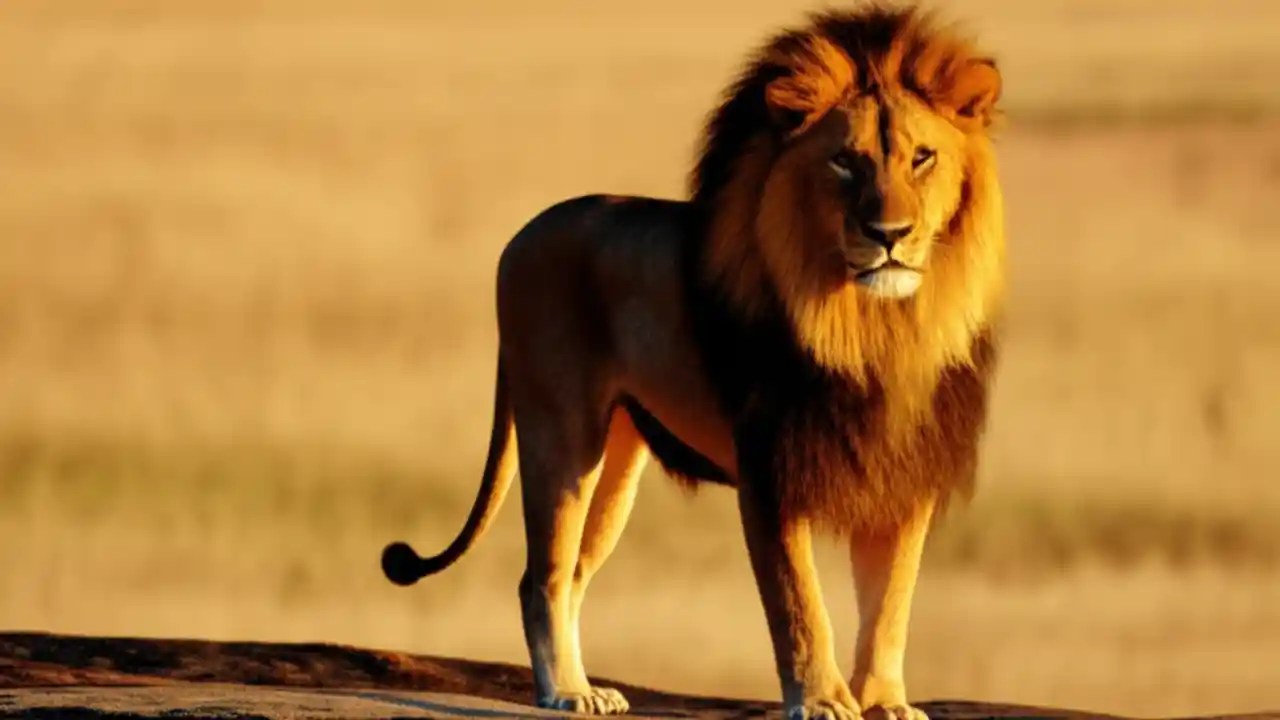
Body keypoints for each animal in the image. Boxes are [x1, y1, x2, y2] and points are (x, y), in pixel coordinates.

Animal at [381, 6, 1004, 719]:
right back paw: (565, 690)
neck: (880, 327)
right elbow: (799, 603)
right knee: (542, 575)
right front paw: (821, 700)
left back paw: (587, 685)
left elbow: (890, 604)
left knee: (570, 573)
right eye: (847, 162)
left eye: (922, 158)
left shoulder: (903, 477)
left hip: (616, 465)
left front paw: (883, 702)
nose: (889, 235)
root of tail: (519, 237)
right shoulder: (770, 474)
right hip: (560, 433)